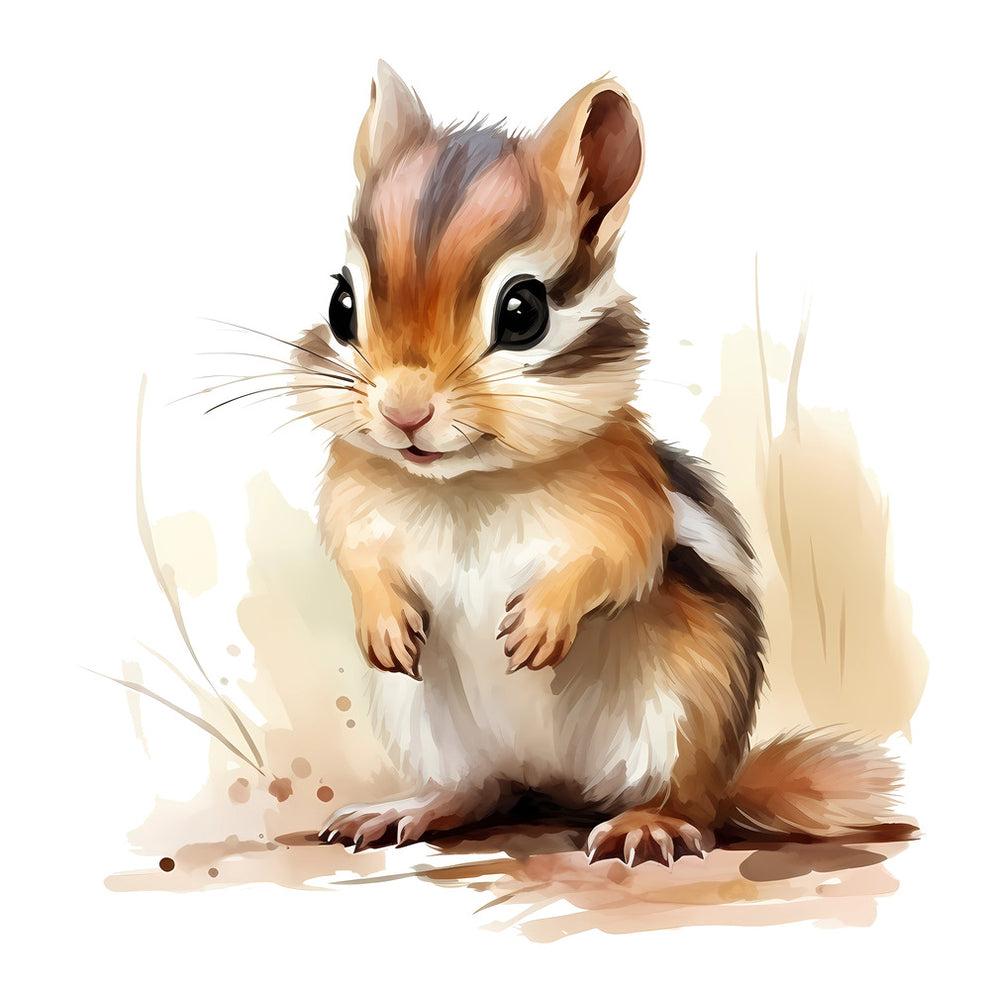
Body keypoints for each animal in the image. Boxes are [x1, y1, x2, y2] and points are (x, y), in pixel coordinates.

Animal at [293, 62, 906, 866]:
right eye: (341, 304)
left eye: (523, 312)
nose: (404, 412)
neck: (468, 484)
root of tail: (553, 780)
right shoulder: (354, 498)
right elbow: (355, 555)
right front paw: (383, 620)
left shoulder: (626, 500)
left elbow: (614, 557)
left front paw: (541, 623)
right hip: (428, 727)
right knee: (481, 791)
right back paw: (409, 808)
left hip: (686, 709)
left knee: (691, 806)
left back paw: (648, 823)